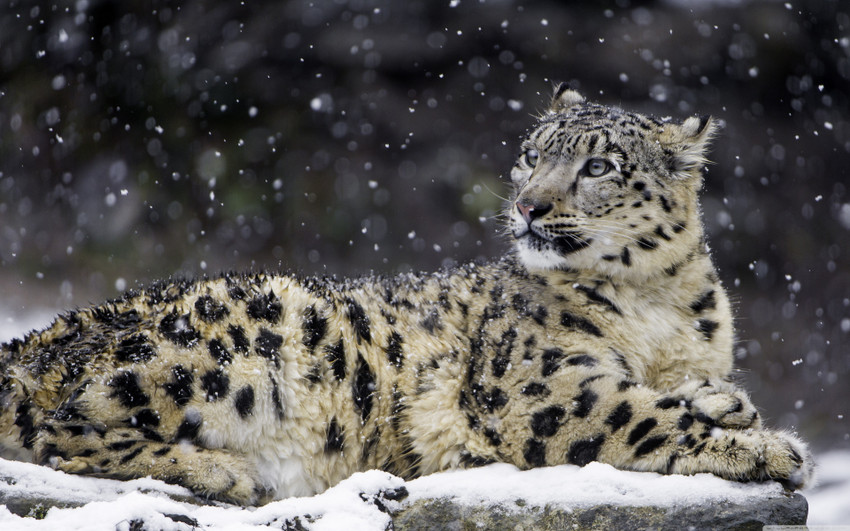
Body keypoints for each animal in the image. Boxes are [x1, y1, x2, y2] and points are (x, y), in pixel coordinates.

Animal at [0, 85, 813, 505]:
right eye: (530, 155)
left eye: (599, 167)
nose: (529, 206)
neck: (656, 304)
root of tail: (37, 337)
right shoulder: (539, 385)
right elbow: (637, 414)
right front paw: (766, 447)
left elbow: (677, 391)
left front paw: (726, 400)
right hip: (229, 348)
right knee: (61, 433)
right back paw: (221, 471)